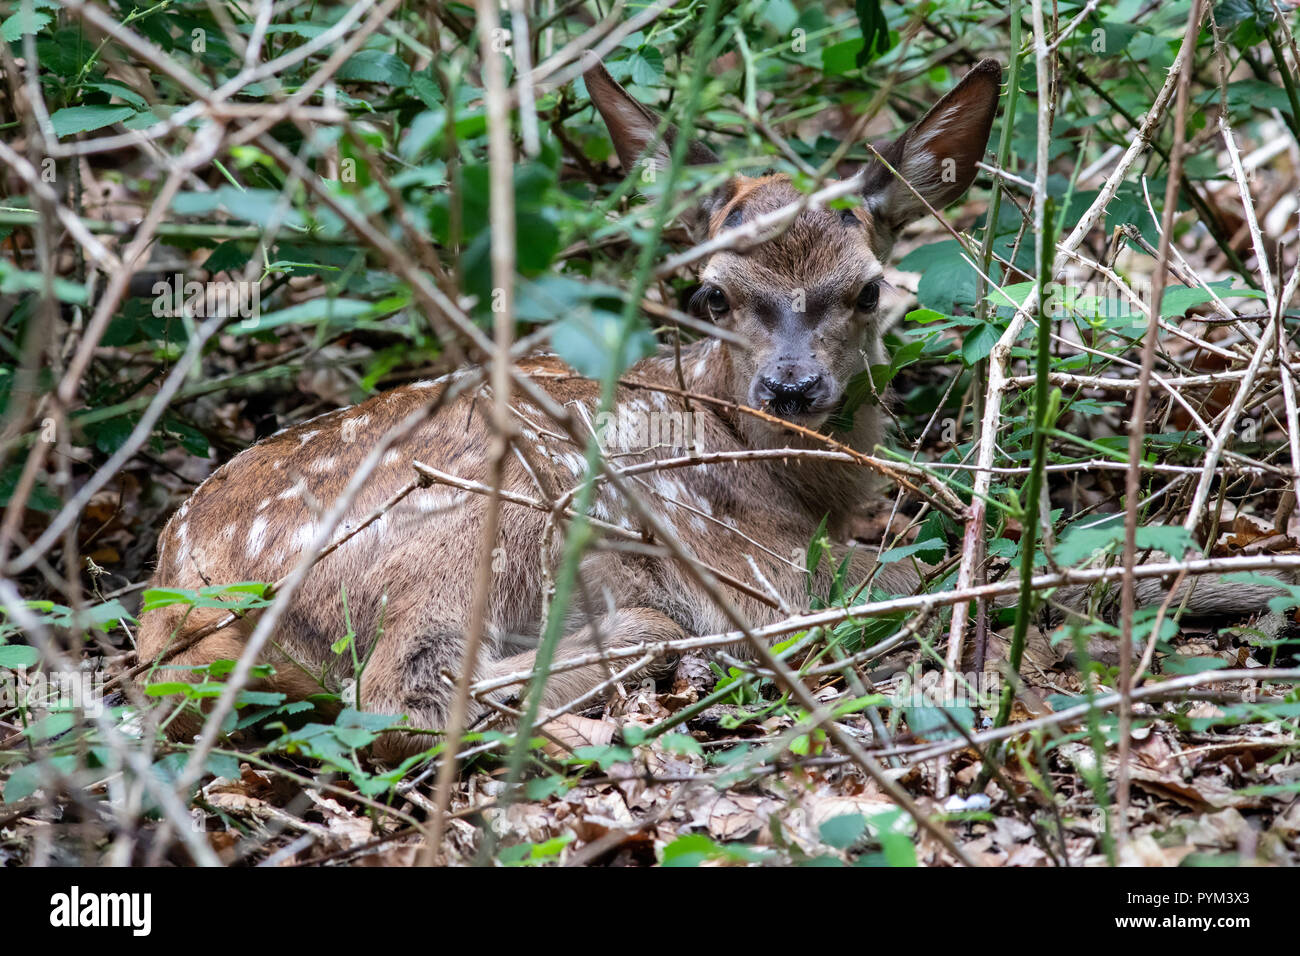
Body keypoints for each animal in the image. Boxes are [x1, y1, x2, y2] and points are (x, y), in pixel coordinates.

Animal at [135, 55, 1284, 762]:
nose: (792, 388)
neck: (791, 480)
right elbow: (954, 582)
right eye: (713, 294)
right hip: (466, 512)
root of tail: (175, 605)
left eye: (869, 288)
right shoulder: (759, 570)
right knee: (394, 696)